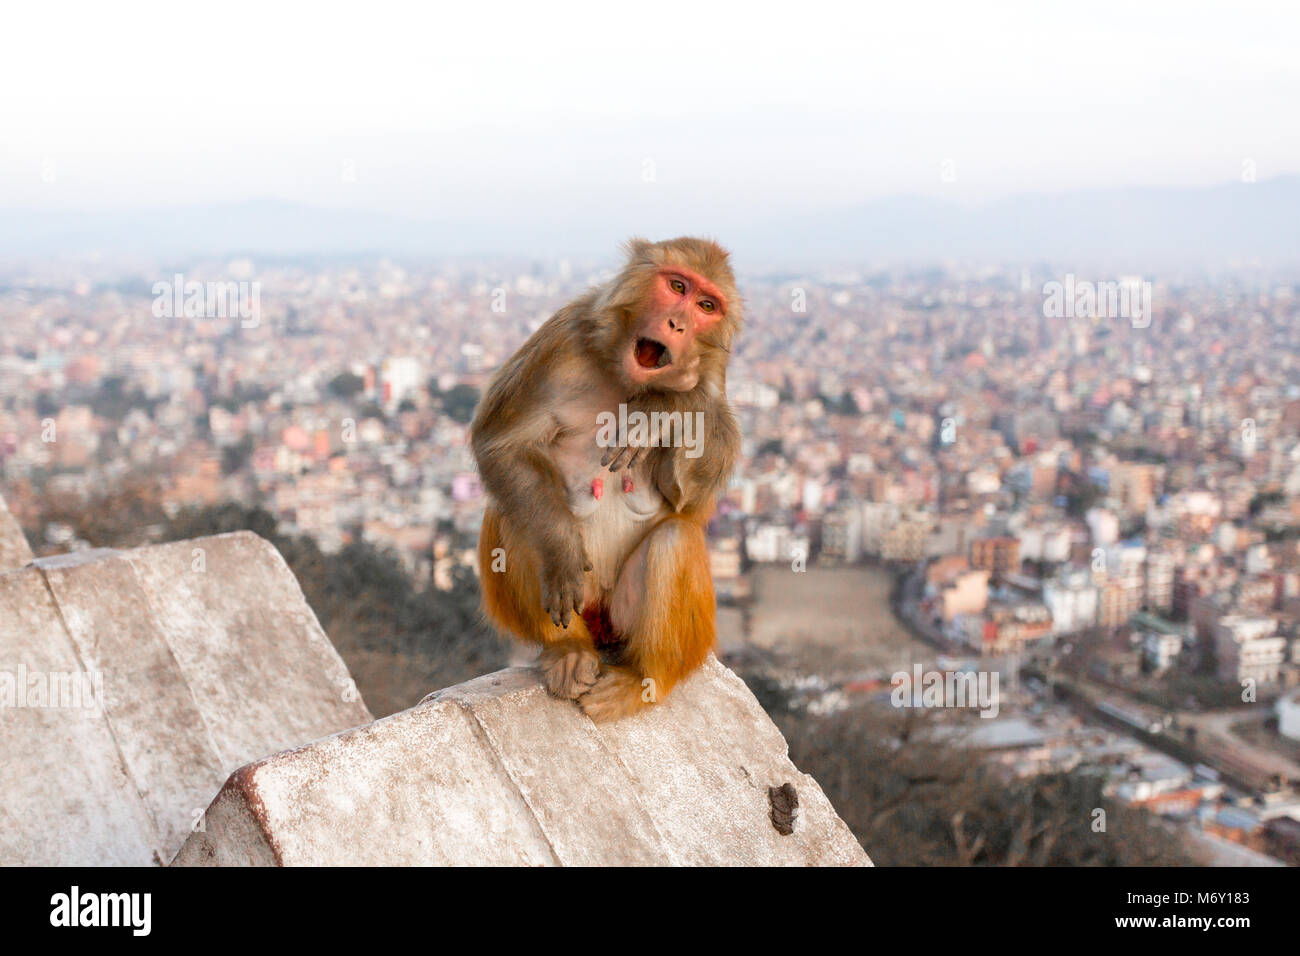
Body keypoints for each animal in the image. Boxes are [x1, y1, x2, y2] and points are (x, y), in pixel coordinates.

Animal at [470, 237, 742, 722]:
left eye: (707, 306)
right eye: (677, 286)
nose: (678, 324)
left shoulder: (717, 375)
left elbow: (689, 496)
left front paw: (670, 403)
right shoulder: (561, 340)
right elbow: (502, 444)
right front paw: (559, 551)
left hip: (635, 622)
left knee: (673, 539)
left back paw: (644, 680)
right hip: (576, 600)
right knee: (520, 519)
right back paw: (569, 651)